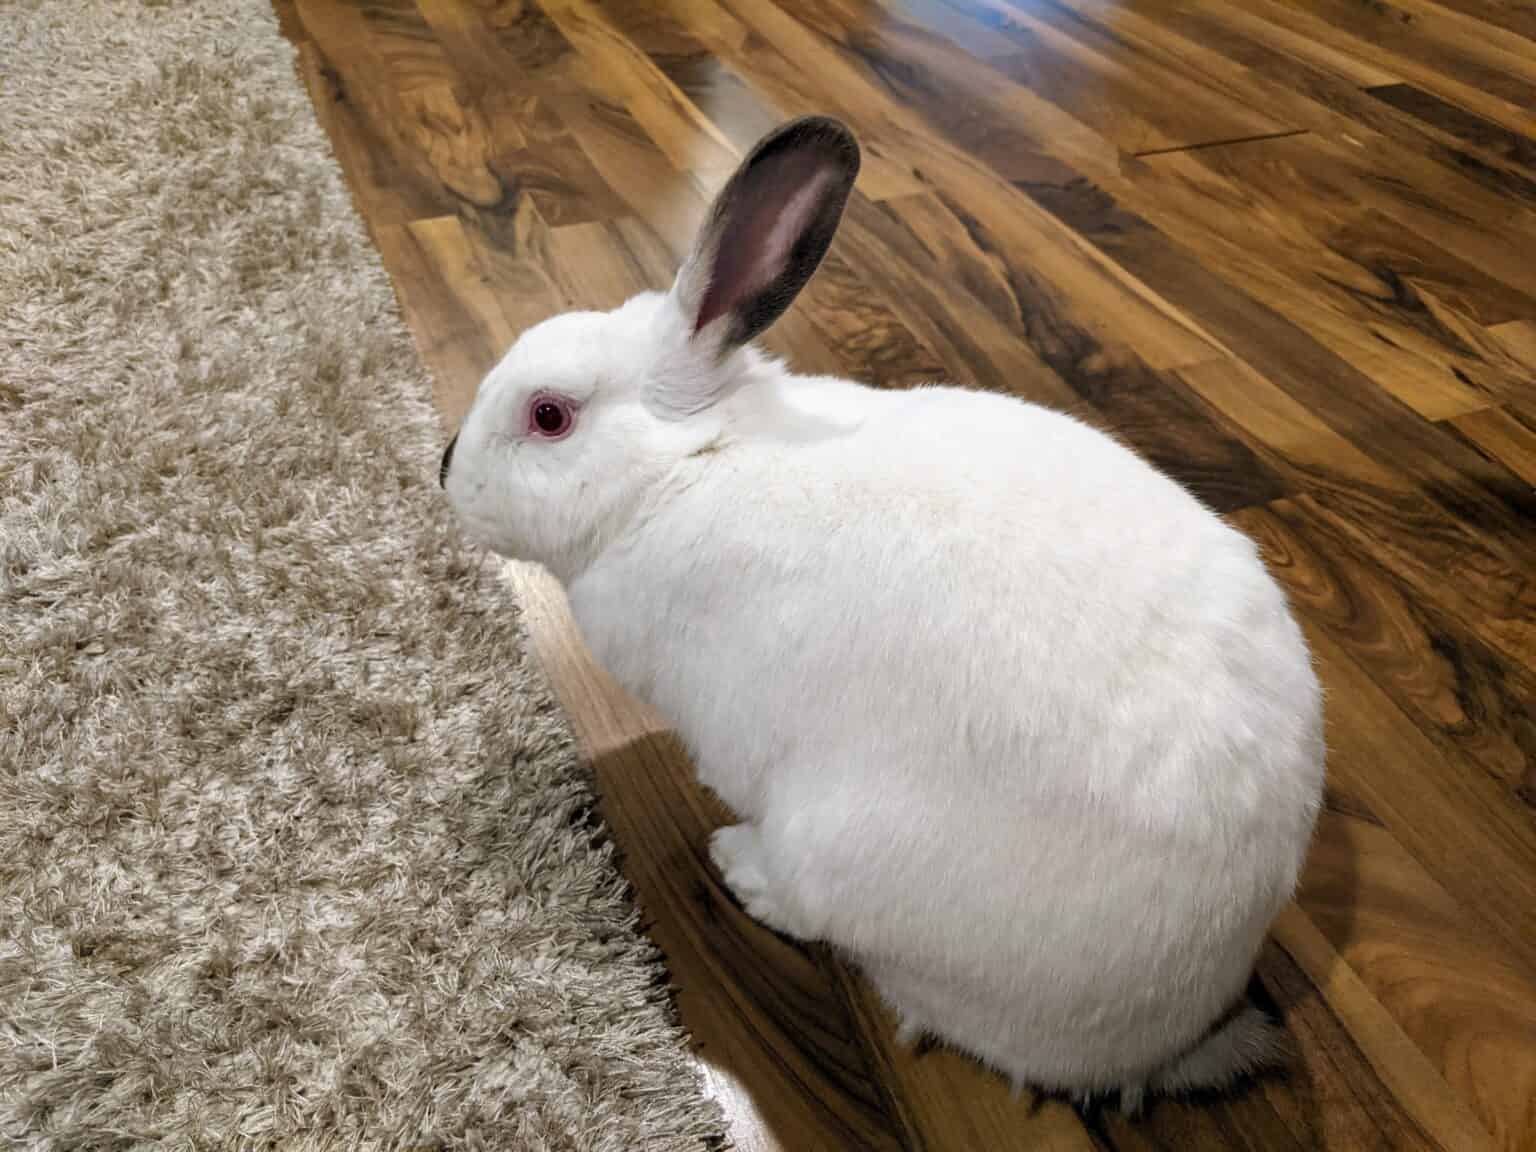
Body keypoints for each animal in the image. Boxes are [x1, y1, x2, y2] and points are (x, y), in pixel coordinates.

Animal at [439, 116, 1325, 1110]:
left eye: (550, 416)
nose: (444, 468)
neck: (686, 466)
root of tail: (1166, 1039)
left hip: (838, 844)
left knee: (813, 903)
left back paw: (738, 864)